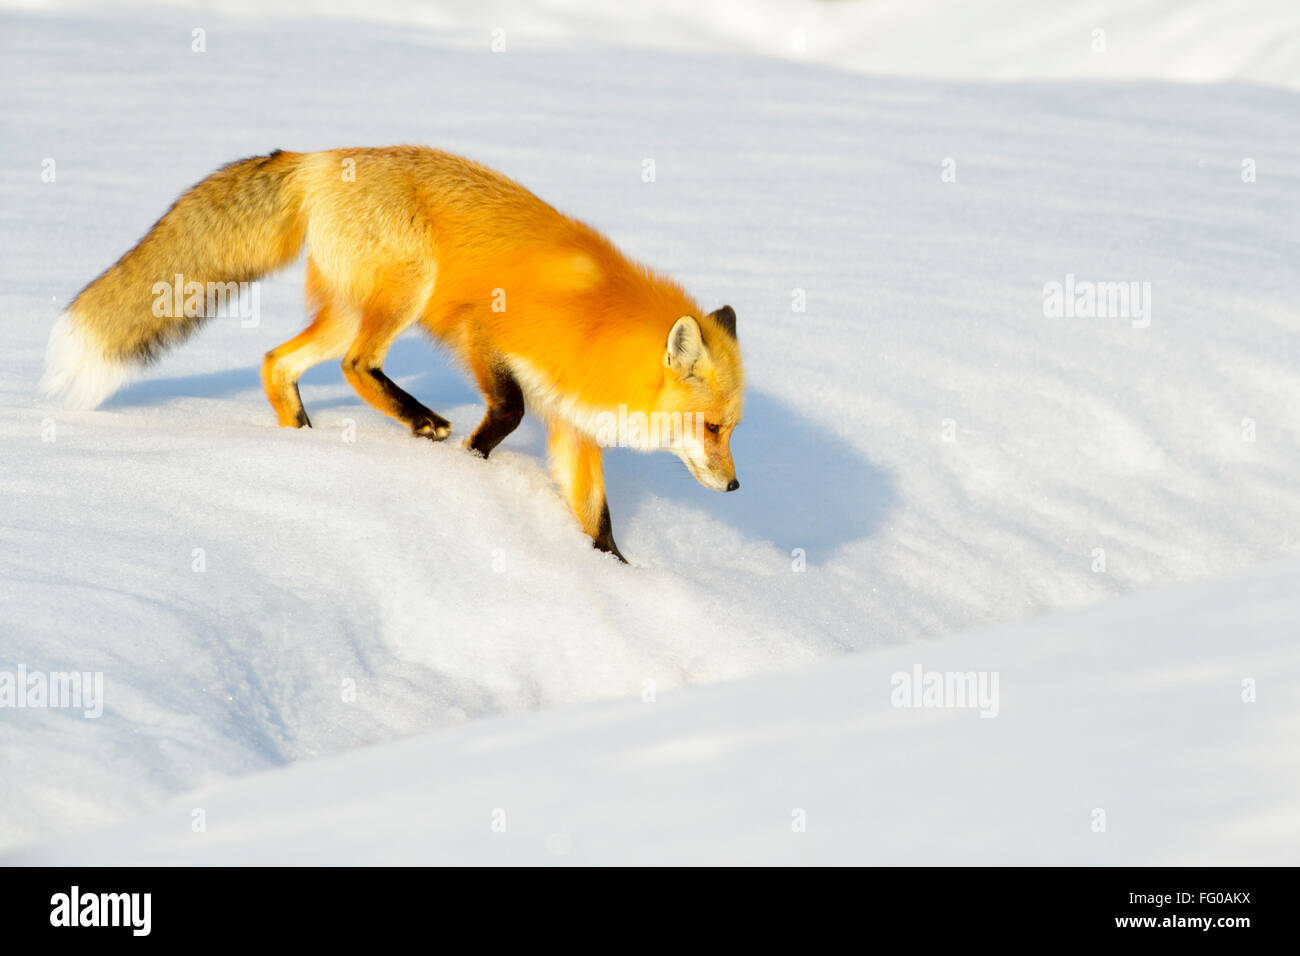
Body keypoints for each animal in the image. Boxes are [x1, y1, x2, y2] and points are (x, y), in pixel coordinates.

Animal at [41, 146, 744, 561]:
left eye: (730, 431)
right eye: (710, 428)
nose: (736, 486)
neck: (597, 326)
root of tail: (320, 156)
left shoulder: (571, 424)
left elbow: (596, 520)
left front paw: (618, 577)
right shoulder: (487, 338)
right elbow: (508, 411)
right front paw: (473, 461)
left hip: (349, 309)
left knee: (276, 361)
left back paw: (302, 439)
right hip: (409, 287)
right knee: (355, 365)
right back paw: (419, 420)